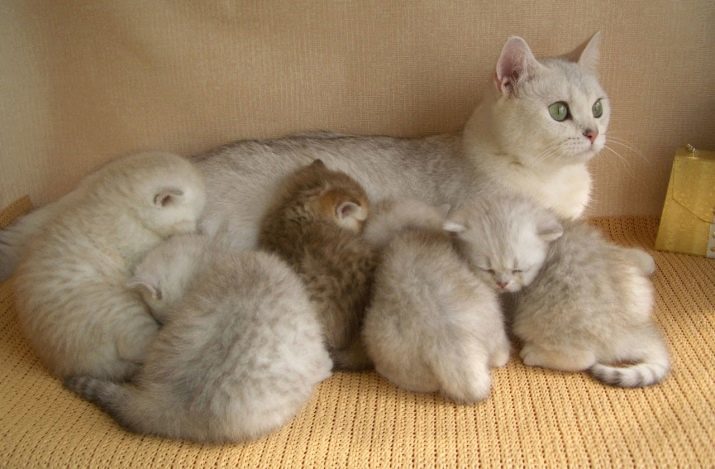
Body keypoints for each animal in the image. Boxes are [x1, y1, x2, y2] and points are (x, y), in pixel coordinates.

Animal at [65, 234, 332, 442]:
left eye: (161, 319)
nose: (161, 326)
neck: (216, 259)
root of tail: (173, 403)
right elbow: (321, 358)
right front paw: (328, 364)